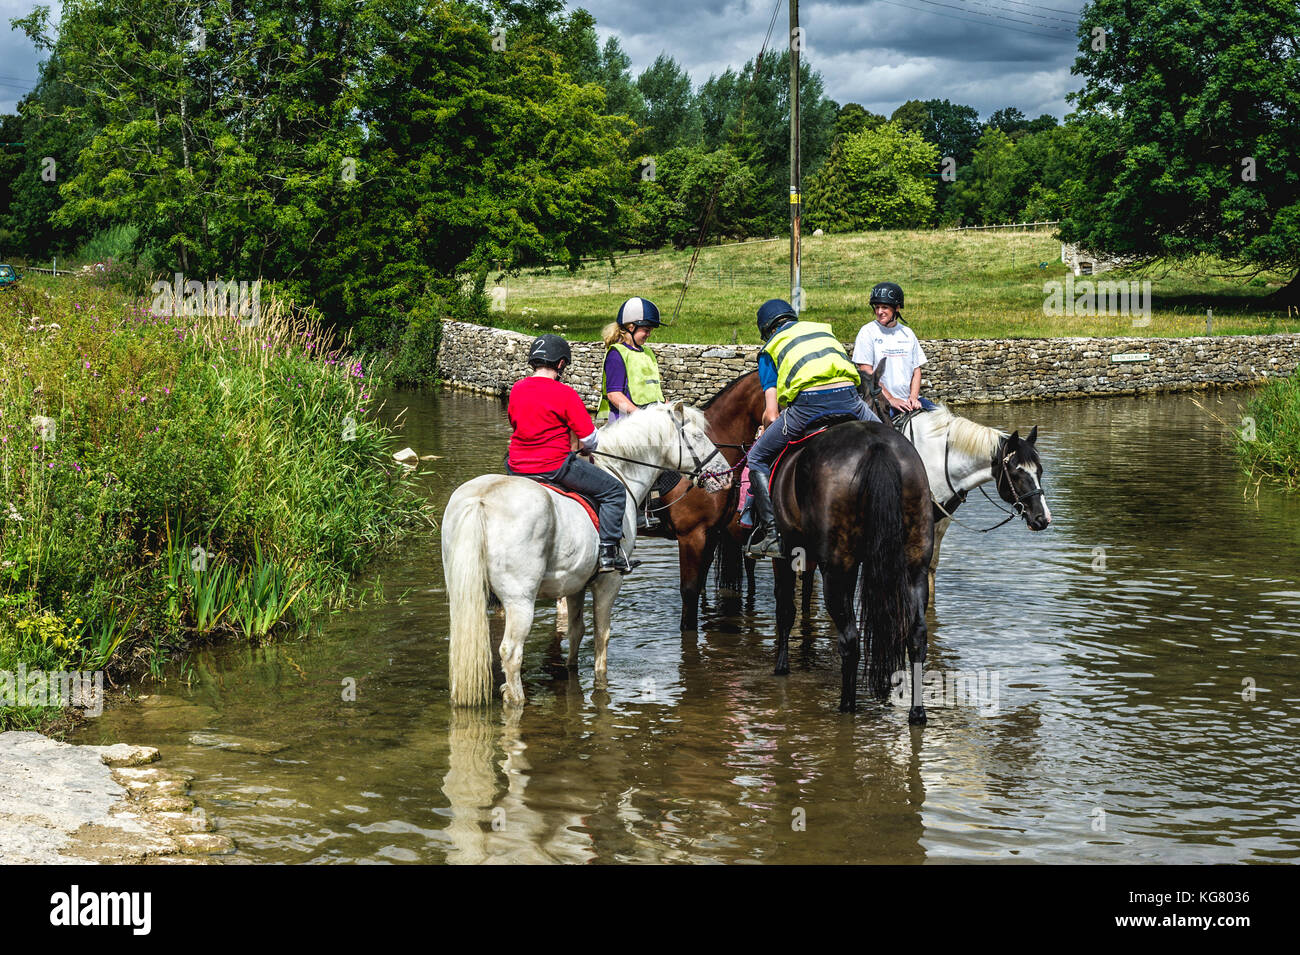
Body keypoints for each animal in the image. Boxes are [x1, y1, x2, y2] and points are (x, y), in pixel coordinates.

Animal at [443, 401, 732, 707]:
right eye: (698, 436)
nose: (726, 475)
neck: (620, 472)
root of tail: (481, 499)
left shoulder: (575, 583)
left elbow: (576, 631)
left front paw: (570, 671)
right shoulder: (609, 581)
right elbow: (601, 636)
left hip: (466, 594)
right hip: (520, 600)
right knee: (511, 652)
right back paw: (516, 699)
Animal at [891, 406, 1052, 606]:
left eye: (1040, 470)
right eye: (1015, 474)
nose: (1042, 518)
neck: (935, 460)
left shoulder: (940, 519)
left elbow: (931, 565)